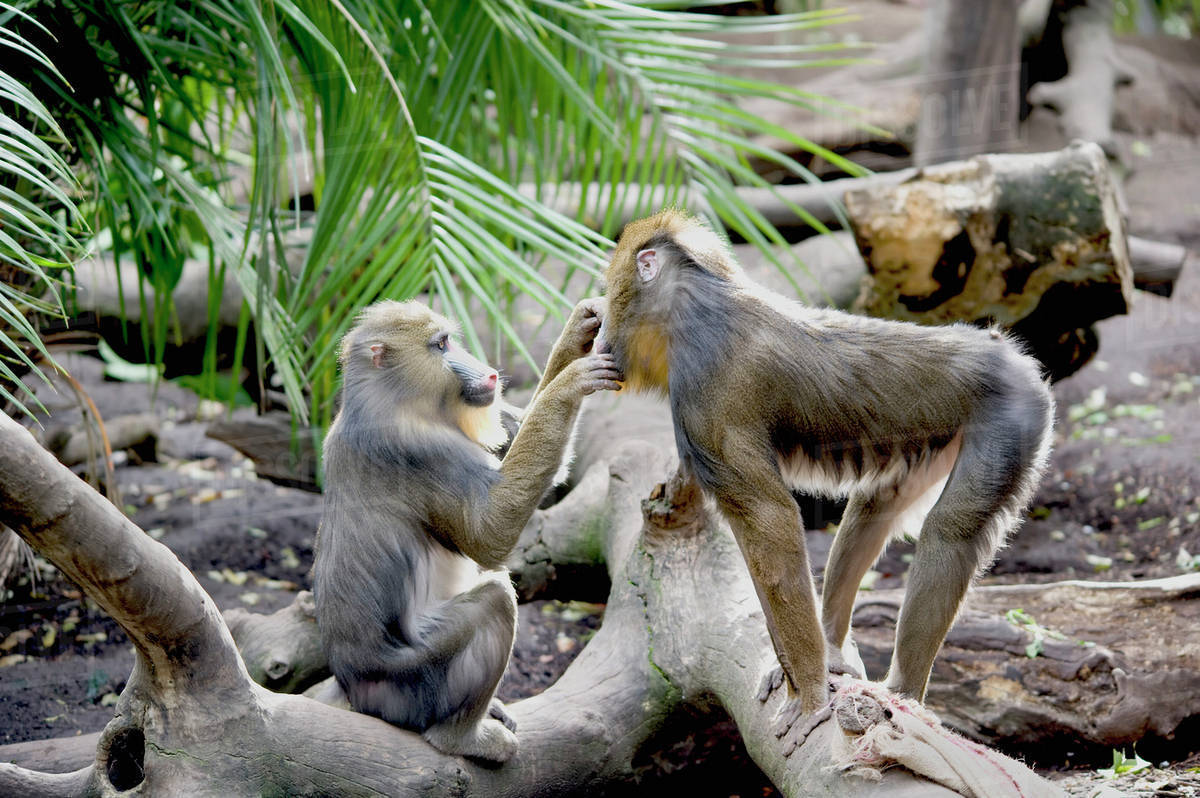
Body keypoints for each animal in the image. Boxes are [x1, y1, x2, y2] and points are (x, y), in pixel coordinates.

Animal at [311, 298, 621, 763]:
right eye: (441, 345)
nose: (489, 374)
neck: (388, 399)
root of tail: (355, 690)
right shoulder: (424, 452)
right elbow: (489, 534)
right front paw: (570, 383)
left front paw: (578, 330)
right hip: (416, 682)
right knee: (493, 599)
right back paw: (463, 738)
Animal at [596, 209, 1053, 748]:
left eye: (611, 290)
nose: (600, 334)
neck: (698, 301)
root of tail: (1009, 354)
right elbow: (763, 545)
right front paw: (797, 675)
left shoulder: (708, 402)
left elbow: (770, 519)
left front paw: (811, 694)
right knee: (875, 505)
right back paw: (833, 648)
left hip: (1012, 417)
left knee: (952, 530)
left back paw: (902, 696)